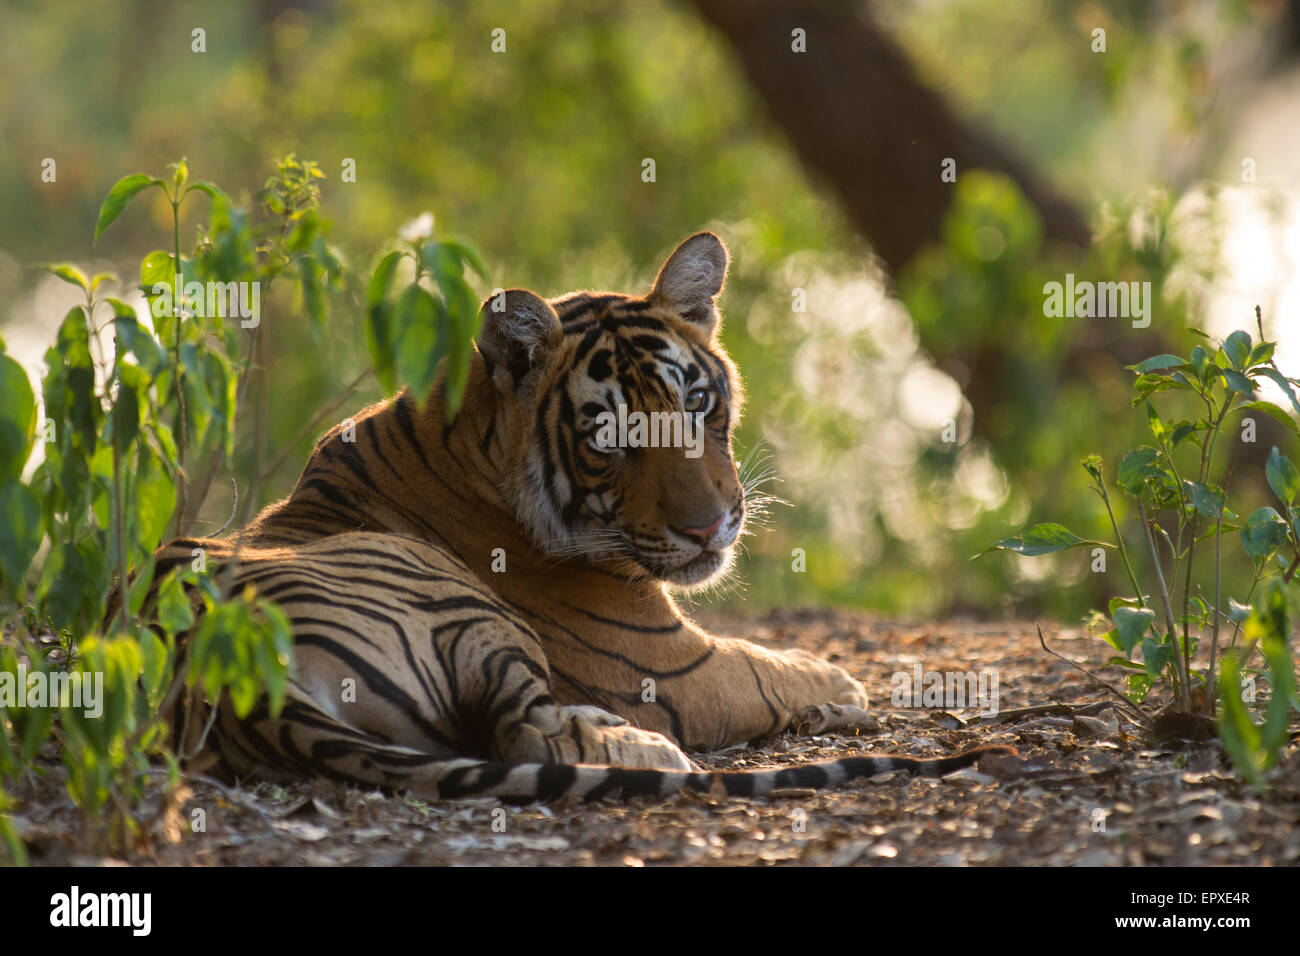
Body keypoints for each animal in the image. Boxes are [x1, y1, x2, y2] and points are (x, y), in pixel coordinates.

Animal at [146, 232, 1012, 802]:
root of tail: (226, 678)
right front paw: (839, 681)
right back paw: (653, 751)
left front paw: (836, 695)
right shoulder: (672, 665)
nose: (710, 528)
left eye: (697, 401)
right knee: (529, 733)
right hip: (463, 606)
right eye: (610, 436)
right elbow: (769, 665)